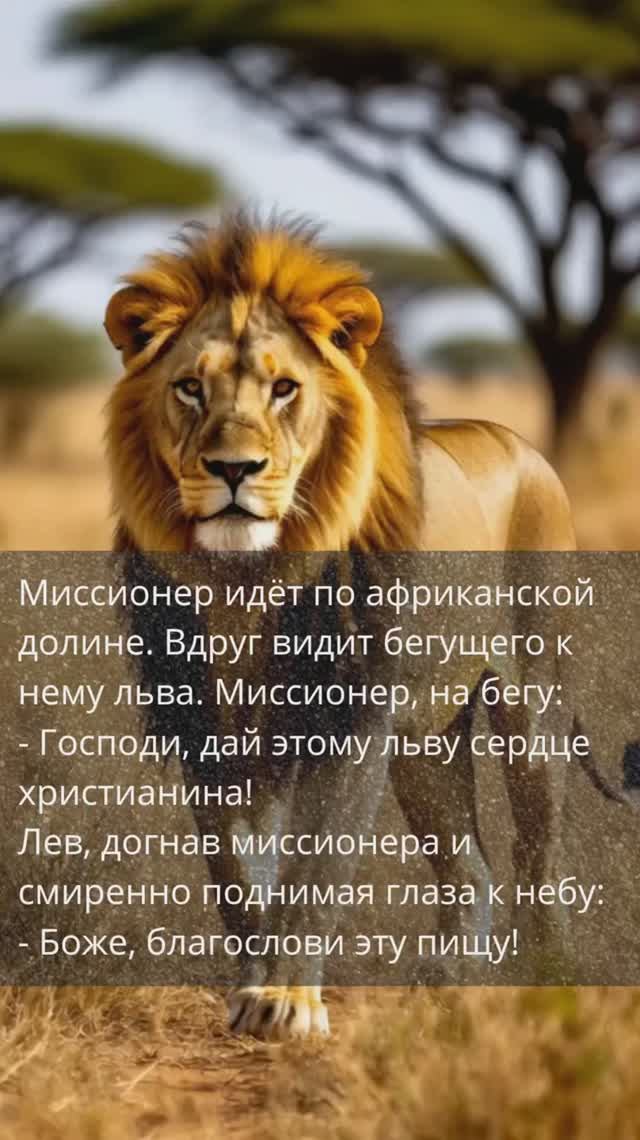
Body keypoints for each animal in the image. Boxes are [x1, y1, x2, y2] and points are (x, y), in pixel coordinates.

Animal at [104, 213, 592, 1038]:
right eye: (190, 387)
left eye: (285, 389)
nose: (233, 469)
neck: (245, 582)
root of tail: (519, 442)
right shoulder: (208, 726)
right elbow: (238, 875)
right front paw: (252, 991)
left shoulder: (348, 718)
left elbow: (314, 866)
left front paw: (286, 1004)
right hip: (426, 740)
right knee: (471, 866)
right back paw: (445, 984)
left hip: (531, 702)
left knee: (539, 853)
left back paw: (553, 983)